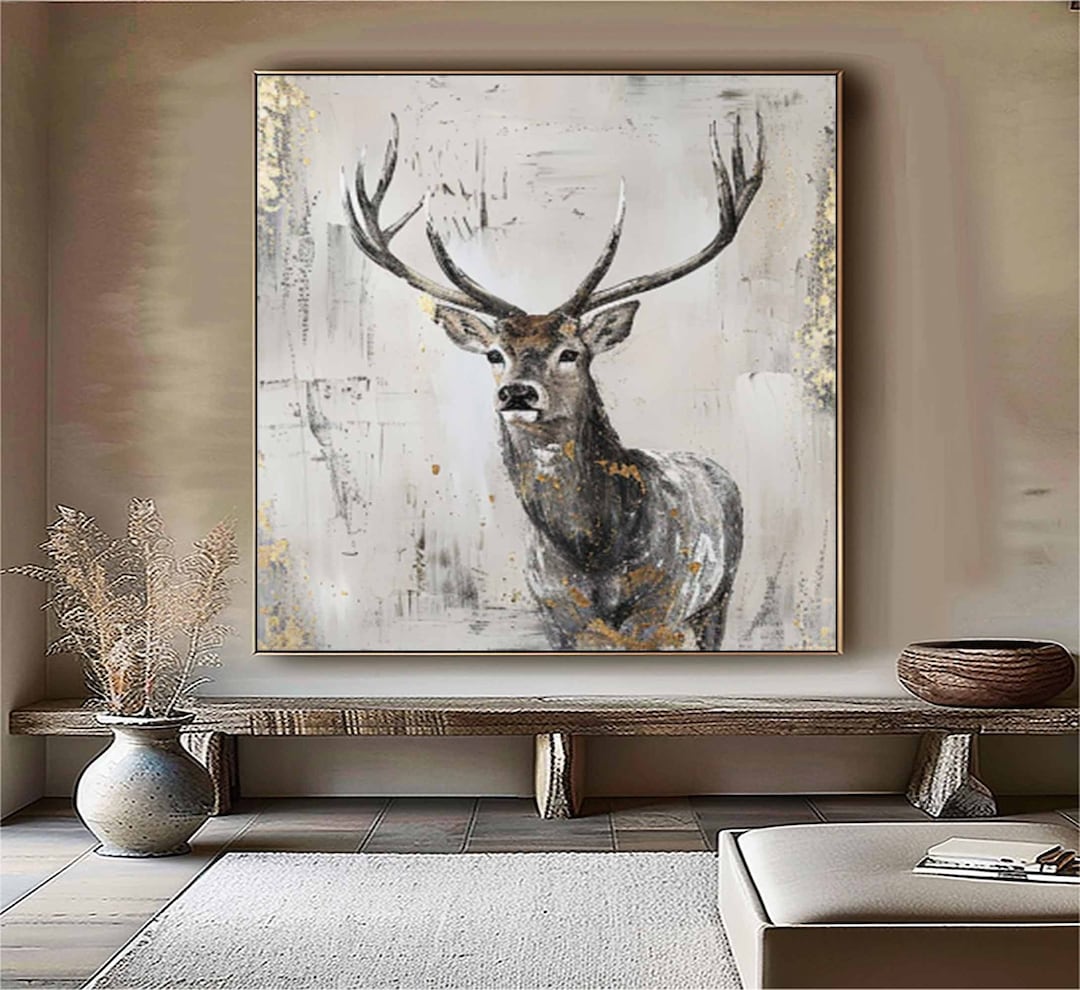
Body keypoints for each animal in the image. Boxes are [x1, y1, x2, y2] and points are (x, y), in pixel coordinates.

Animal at [341, 113, 765, 651]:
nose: (517, 392)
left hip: (718, 594)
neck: (597, 553)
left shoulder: (660, 612)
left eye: (571, 353)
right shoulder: (555, 615)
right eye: (495, 354)